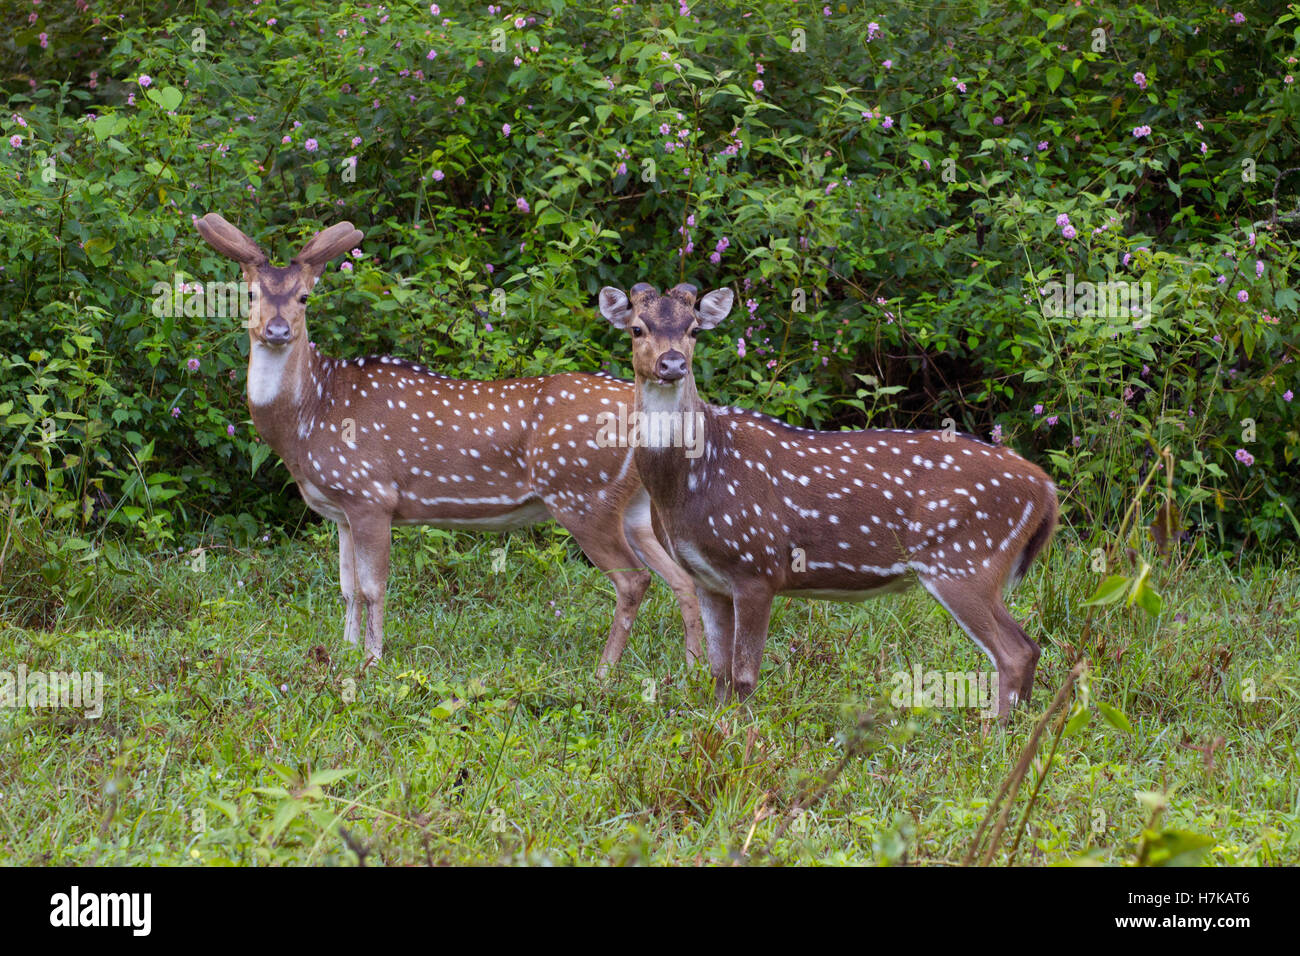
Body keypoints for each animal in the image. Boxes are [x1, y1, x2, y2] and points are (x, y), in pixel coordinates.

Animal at [193, 213, 704, 672]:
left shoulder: (371, 493)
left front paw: (372, 661)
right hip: (634, 506)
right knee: (682, 578)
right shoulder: (339, 510)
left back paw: (604, 672)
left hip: (582, 495)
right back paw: (693, 668)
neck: (311, 417)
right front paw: (343, 651)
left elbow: (372, 587)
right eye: (251, 293)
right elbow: (345, 587)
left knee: (634, 581)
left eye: (304, 296)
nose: (277, 330)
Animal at [598, 282, 1059, 719]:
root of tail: (1046, 488)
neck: (692, 482)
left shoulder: (757, 566)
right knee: (1029, 646)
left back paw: (994, 731)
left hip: (964, 560)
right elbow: (718, 676)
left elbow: (744, 676)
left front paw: (740, 738)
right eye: (637, 328)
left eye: (694, 329)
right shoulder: (706, 578)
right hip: (978, 566)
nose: (673, 363)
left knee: (1013, 652)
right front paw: (716, 729)